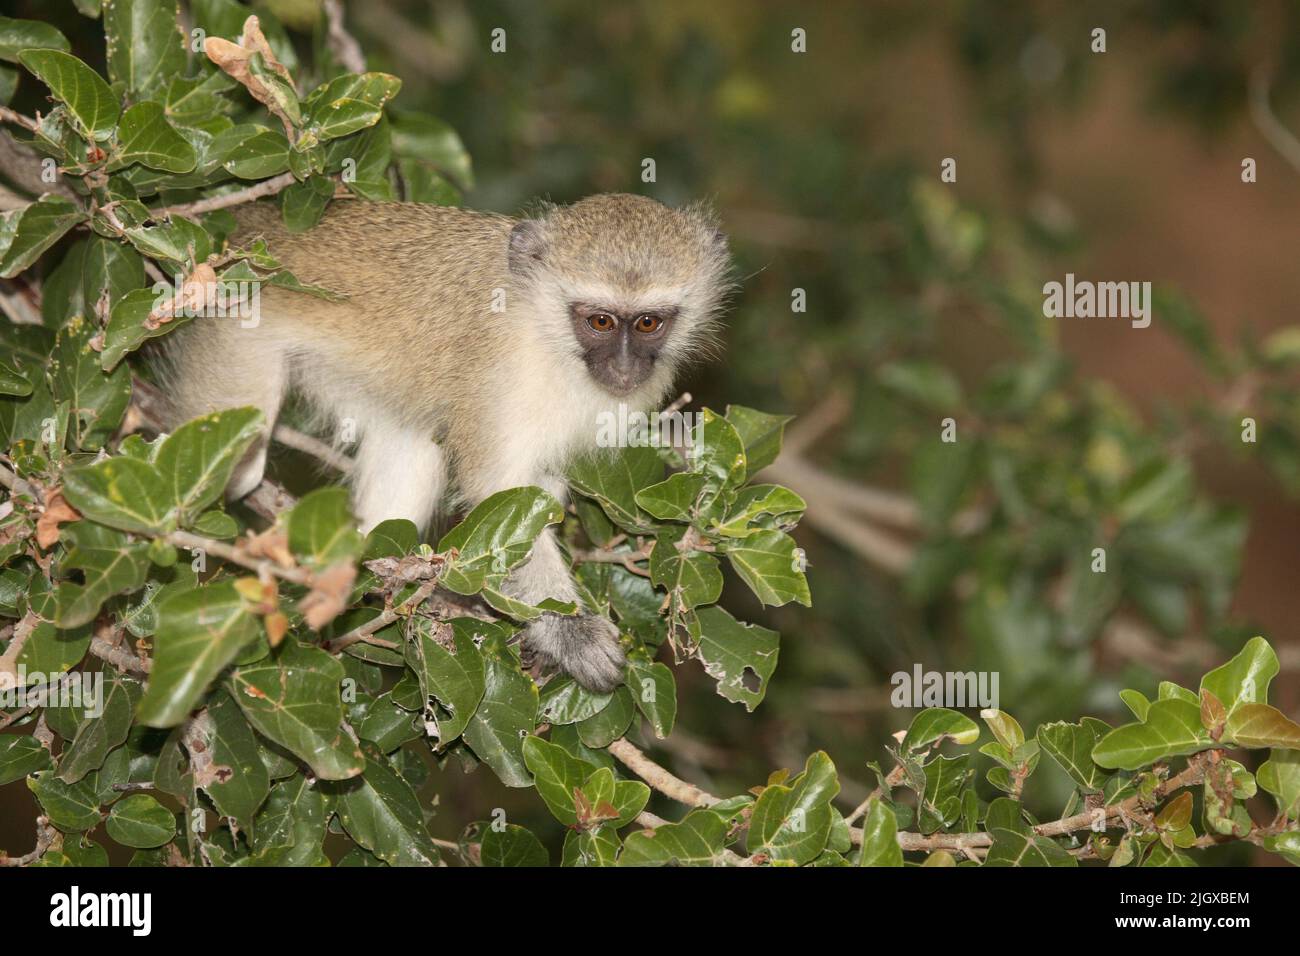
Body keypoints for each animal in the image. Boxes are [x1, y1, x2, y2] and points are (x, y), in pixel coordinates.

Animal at [153, 194, 732, 693]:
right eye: (601, 321)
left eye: (649, 322)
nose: (626, 368)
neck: (546, 336)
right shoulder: (498, 374)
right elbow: (502, 494)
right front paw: (570, 633)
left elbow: (536, 494)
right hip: (232, 336)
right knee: (239, 469)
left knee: (413, 441)